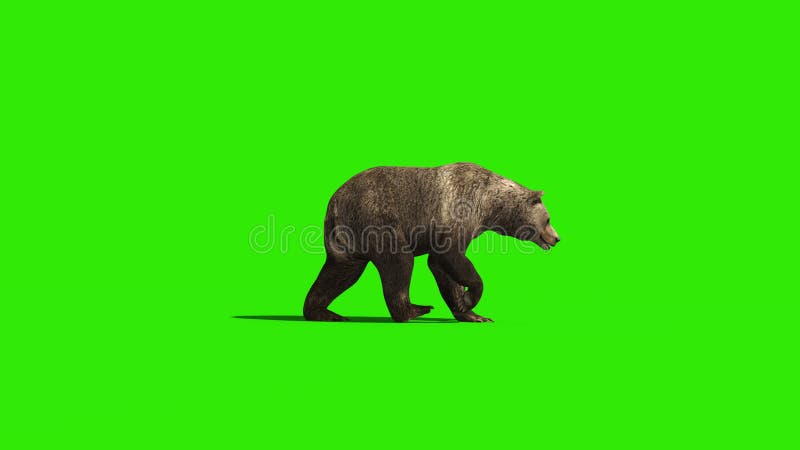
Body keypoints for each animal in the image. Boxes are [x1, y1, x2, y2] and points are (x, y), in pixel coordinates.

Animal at [303, 162, 560, 322]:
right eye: (548, 219)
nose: (557, 238)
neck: (491, 205)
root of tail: (334, 202)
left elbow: (443, 269)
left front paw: (471, 312)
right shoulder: (460, 209)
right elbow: (449, 256)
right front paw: (470, 298)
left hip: (346, 241)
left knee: (341, 272)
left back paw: (323, 312)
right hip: (376, 217)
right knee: (400, 262)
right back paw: (414, 310)